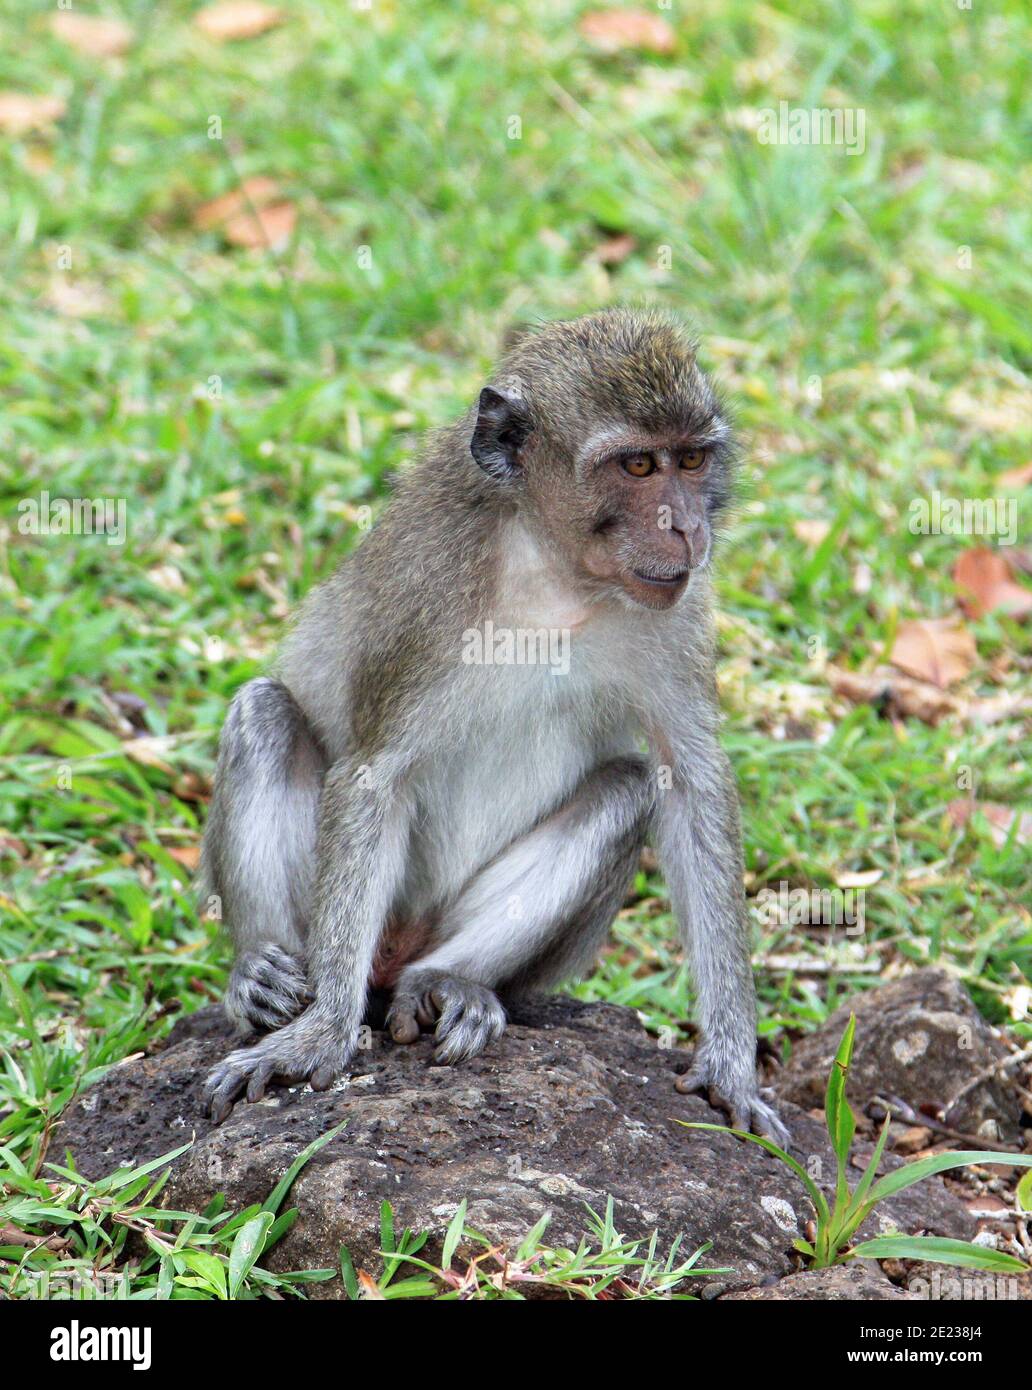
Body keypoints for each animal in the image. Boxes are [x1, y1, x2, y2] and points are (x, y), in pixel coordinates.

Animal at [200, 307, 788, 1144]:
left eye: (692, 459)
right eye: (638, 467)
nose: (686, 528)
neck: (551, 576)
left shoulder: (678, 612)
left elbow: (691, 782)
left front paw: (733, 1062)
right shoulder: (425, 597)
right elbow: (374, 777)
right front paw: (322, 1031)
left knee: (627, 787)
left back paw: (447, 980)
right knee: (265, 713)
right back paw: (263, 972)